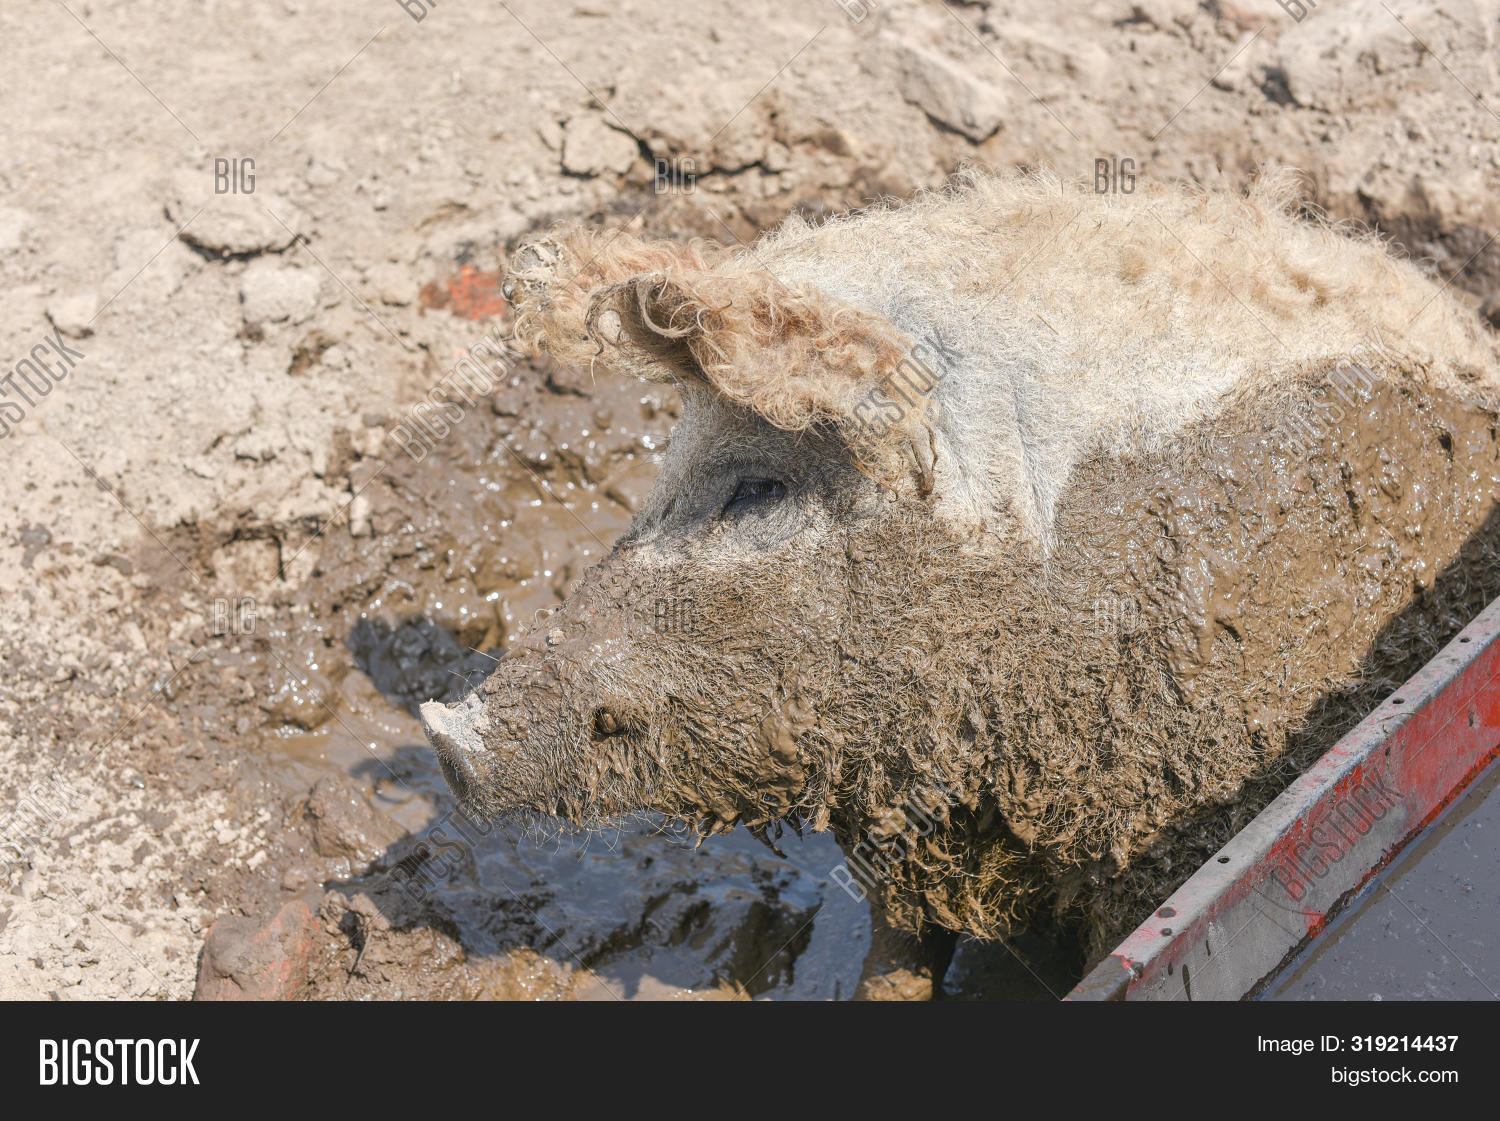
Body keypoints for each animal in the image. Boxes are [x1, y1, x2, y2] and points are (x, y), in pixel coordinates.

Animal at [420, 168, 1500, 998]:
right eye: (663, 469)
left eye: (759, 487)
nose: (450, 739)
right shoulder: (903, 831)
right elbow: (893, 962)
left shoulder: (1179, 822)